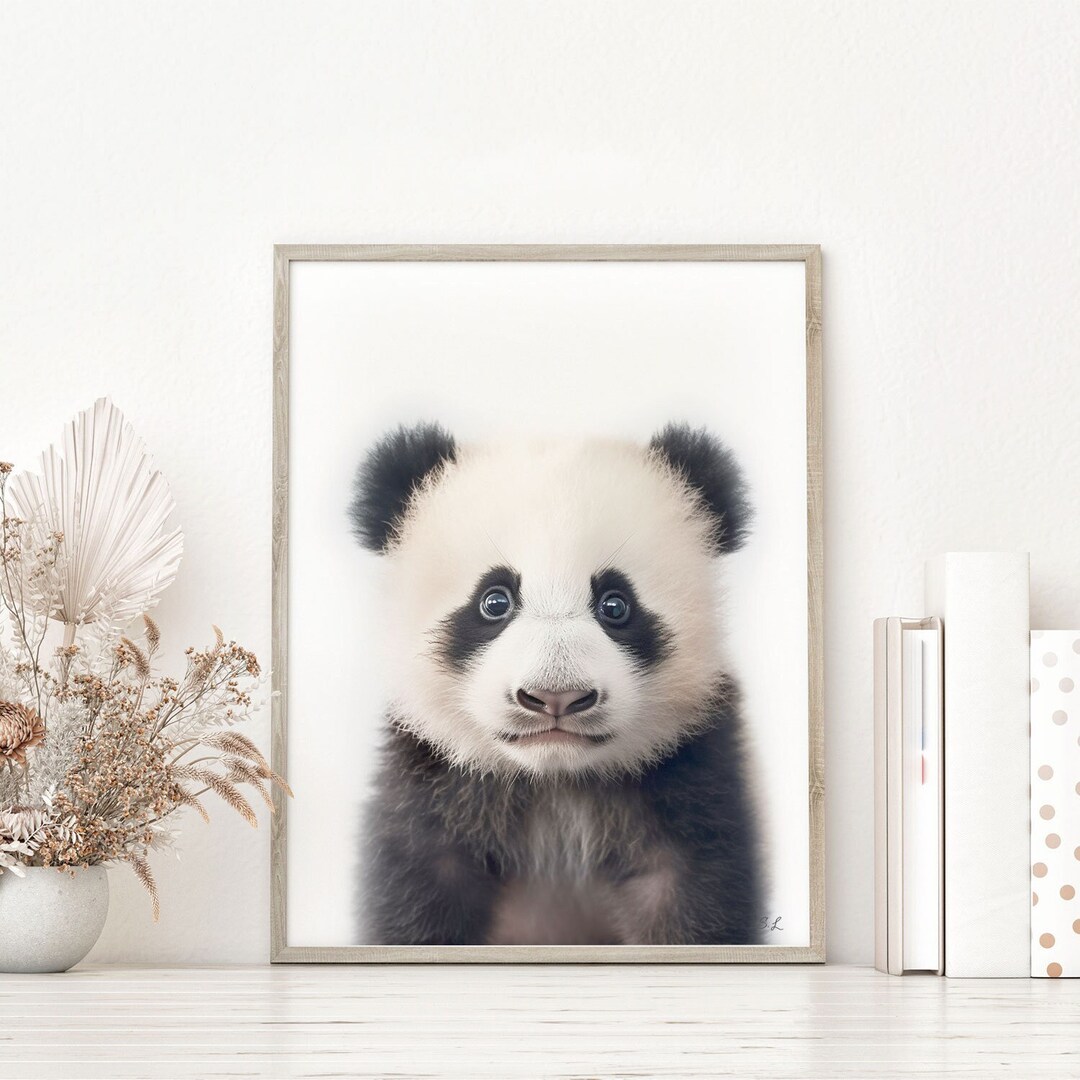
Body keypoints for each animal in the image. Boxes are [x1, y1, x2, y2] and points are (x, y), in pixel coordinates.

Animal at [350, 422, 763, 946]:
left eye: (615, 605)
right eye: (494, 601)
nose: (555, 697)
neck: (555, 782)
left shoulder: (691, 775)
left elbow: (693, 895)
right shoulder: (433, 781)